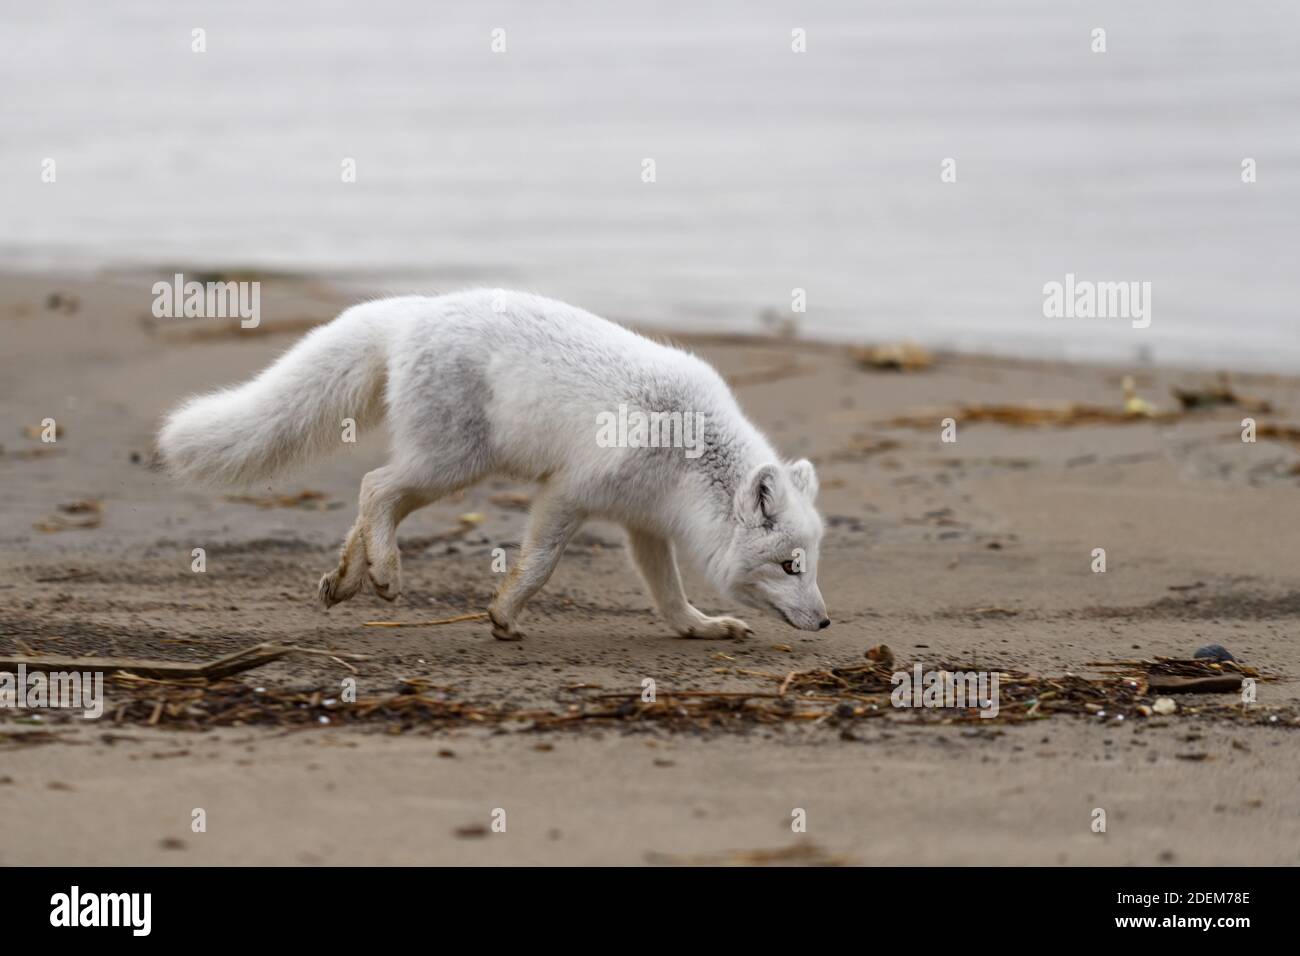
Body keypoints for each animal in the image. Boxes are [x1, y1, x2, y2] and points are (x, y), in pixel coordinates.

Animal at [157, 290, 830, 641]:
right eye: (789, 565)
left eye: (811, 564)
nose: (826, 622)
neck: (689, 451)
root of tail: (411, 310)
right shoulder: (569, 492)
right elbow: (540, 565)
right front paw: (504, 616)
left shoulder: (643, 523)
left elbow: (667, 594)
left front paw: (700, 626)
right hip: (453, 466)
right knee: (375, 488)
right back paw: (386, 572)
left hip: (446, 465)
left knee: (373, 506)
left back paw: (352, 578)